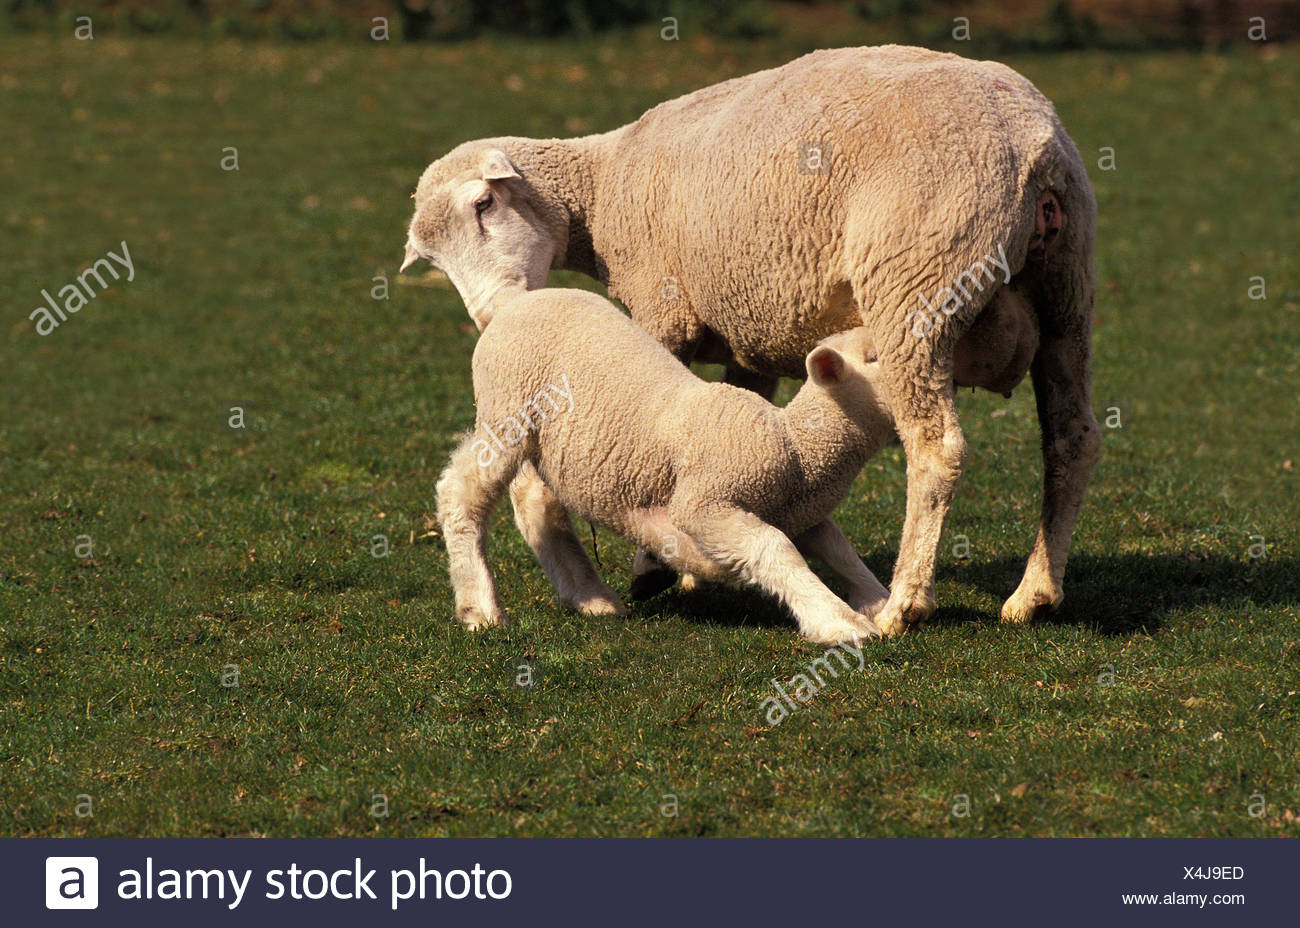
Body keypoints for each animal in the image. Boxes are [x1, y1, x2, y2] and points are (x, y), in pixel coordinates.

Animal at [435, 287, 897, 646]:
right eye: (874, 357)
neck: (796, 447)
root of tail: (518, 300)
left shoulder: (801, 513)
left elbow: (840, 550)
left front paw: (880, 602)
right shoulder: (706, 502)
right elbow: (776, 549)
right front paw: (837, 620)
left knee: (537, 506)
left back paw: (589, 596)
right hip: (506, 412)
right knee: (461, 491)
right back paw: (480, 607)